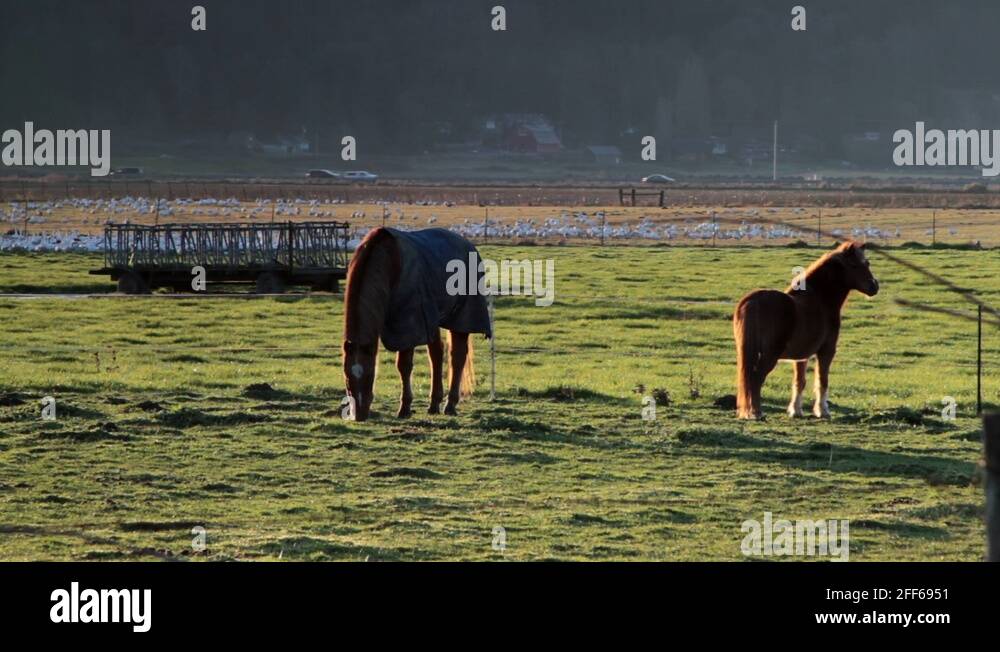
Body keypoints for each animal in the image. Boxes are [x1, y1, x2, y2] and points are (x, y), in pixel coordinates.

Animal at [342, 227, 492, 421]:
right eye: (346, 376)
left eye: (370, 375)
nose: (359, 415)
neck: (389, 260)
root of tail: (467, 243)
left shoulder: (408, 324)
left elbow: (404, 366)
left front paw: (404, 408)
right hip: (433, 320)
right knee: (437, 354)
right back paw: (434, 404)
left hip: (461, 317)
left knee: (457, 357)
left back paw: (450, 405)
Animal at [733, 241, 879, 420]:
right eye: (854, 265)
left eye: (867, 263)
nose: (874, 286)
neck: (820, 300)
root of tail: (753, 301)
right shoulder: (826, 351)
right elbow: (822, 380)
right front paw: (823, 411)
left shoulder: (801, 356)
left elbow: (799, 382)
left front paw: (796, 411)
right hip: (770, 355)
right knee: (756, 379)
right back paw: (756, 412)